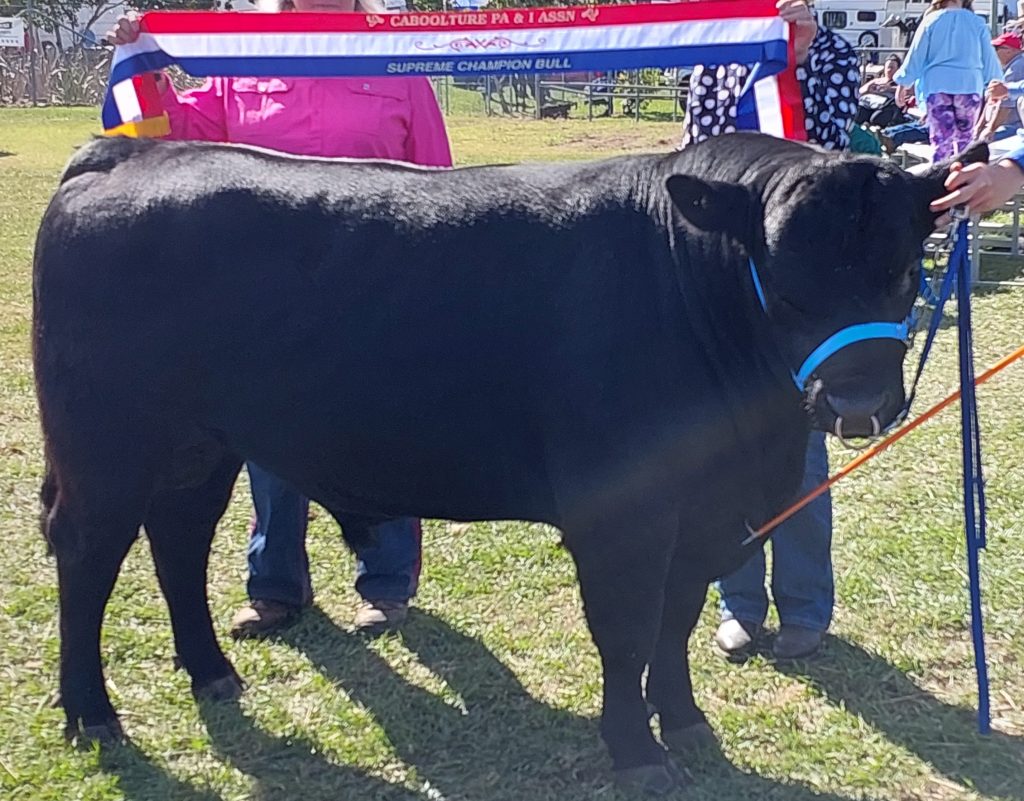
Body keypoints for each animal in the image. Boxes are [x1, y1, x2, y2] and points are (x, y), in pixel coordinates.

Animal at [33, 132, 982, 793]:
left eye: (907, 270)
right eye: (780, 281)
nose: (857, 404)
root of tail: (124, 152)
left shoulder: (705, 512)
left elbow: (673, 624)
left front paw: (683, 721)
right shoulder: (622, 512)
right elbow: (626, 630)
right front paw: (635, 749)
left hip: (200, 446)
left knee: (178, 541)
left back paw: (213, 674)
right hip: (106, 442)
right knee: (88, 552)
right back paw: (93, 714)